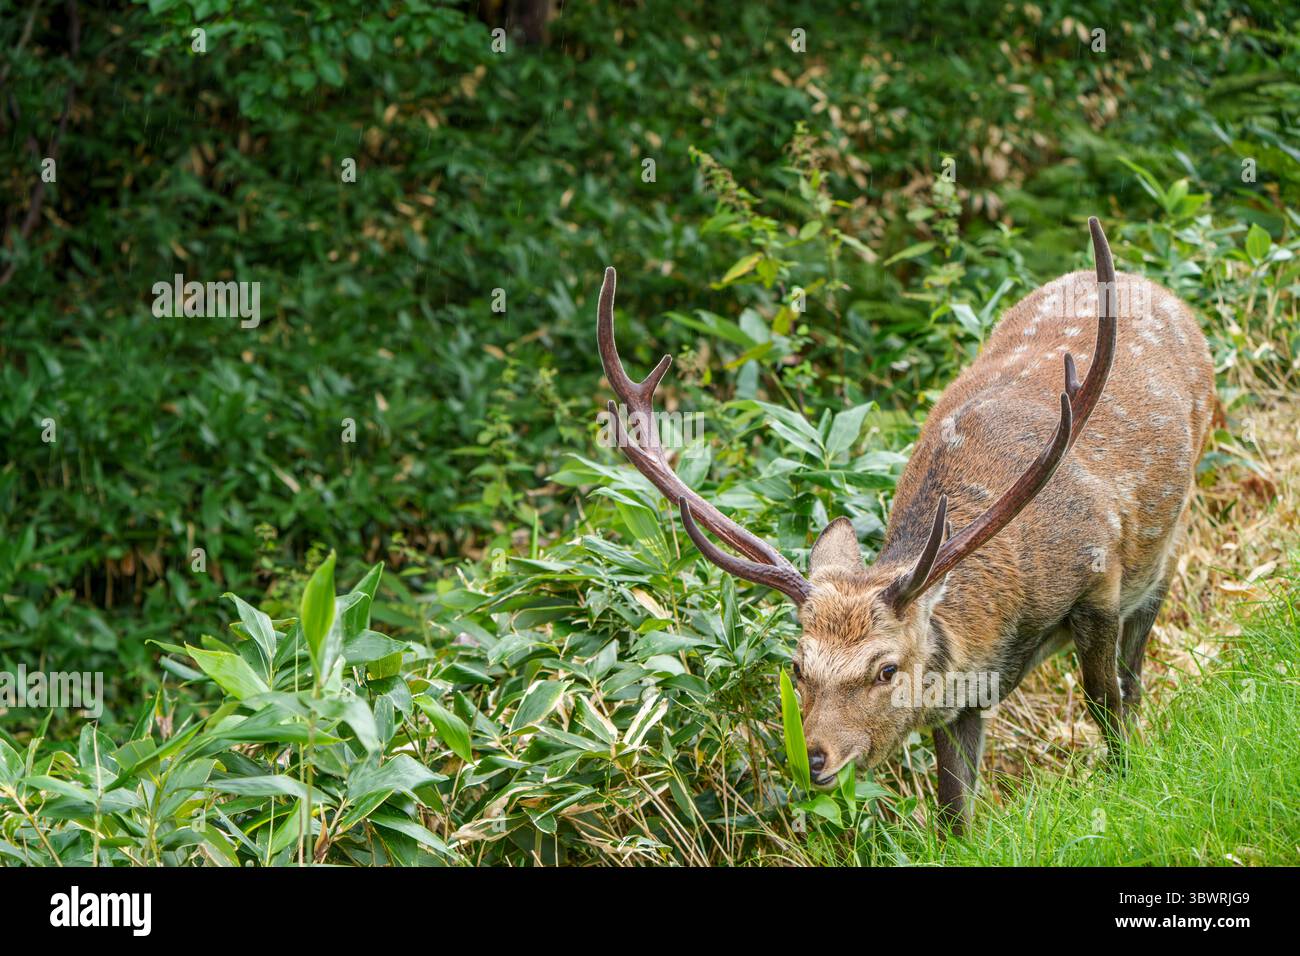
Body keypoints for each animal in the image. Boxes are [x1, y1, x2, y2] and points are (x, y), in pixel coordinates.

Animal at [595, 218, 1216, 832]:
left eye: (886, 669)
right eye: (796, 664)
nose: (810, 758)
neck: (1011, 616)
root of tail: (1159, 289)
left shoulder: (1098, 582)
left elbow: (1105, 704)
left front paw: (1124, 781)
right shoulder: (964, 696)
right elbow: (953, 808)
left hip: (1170, 529)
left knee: (1137, 663)